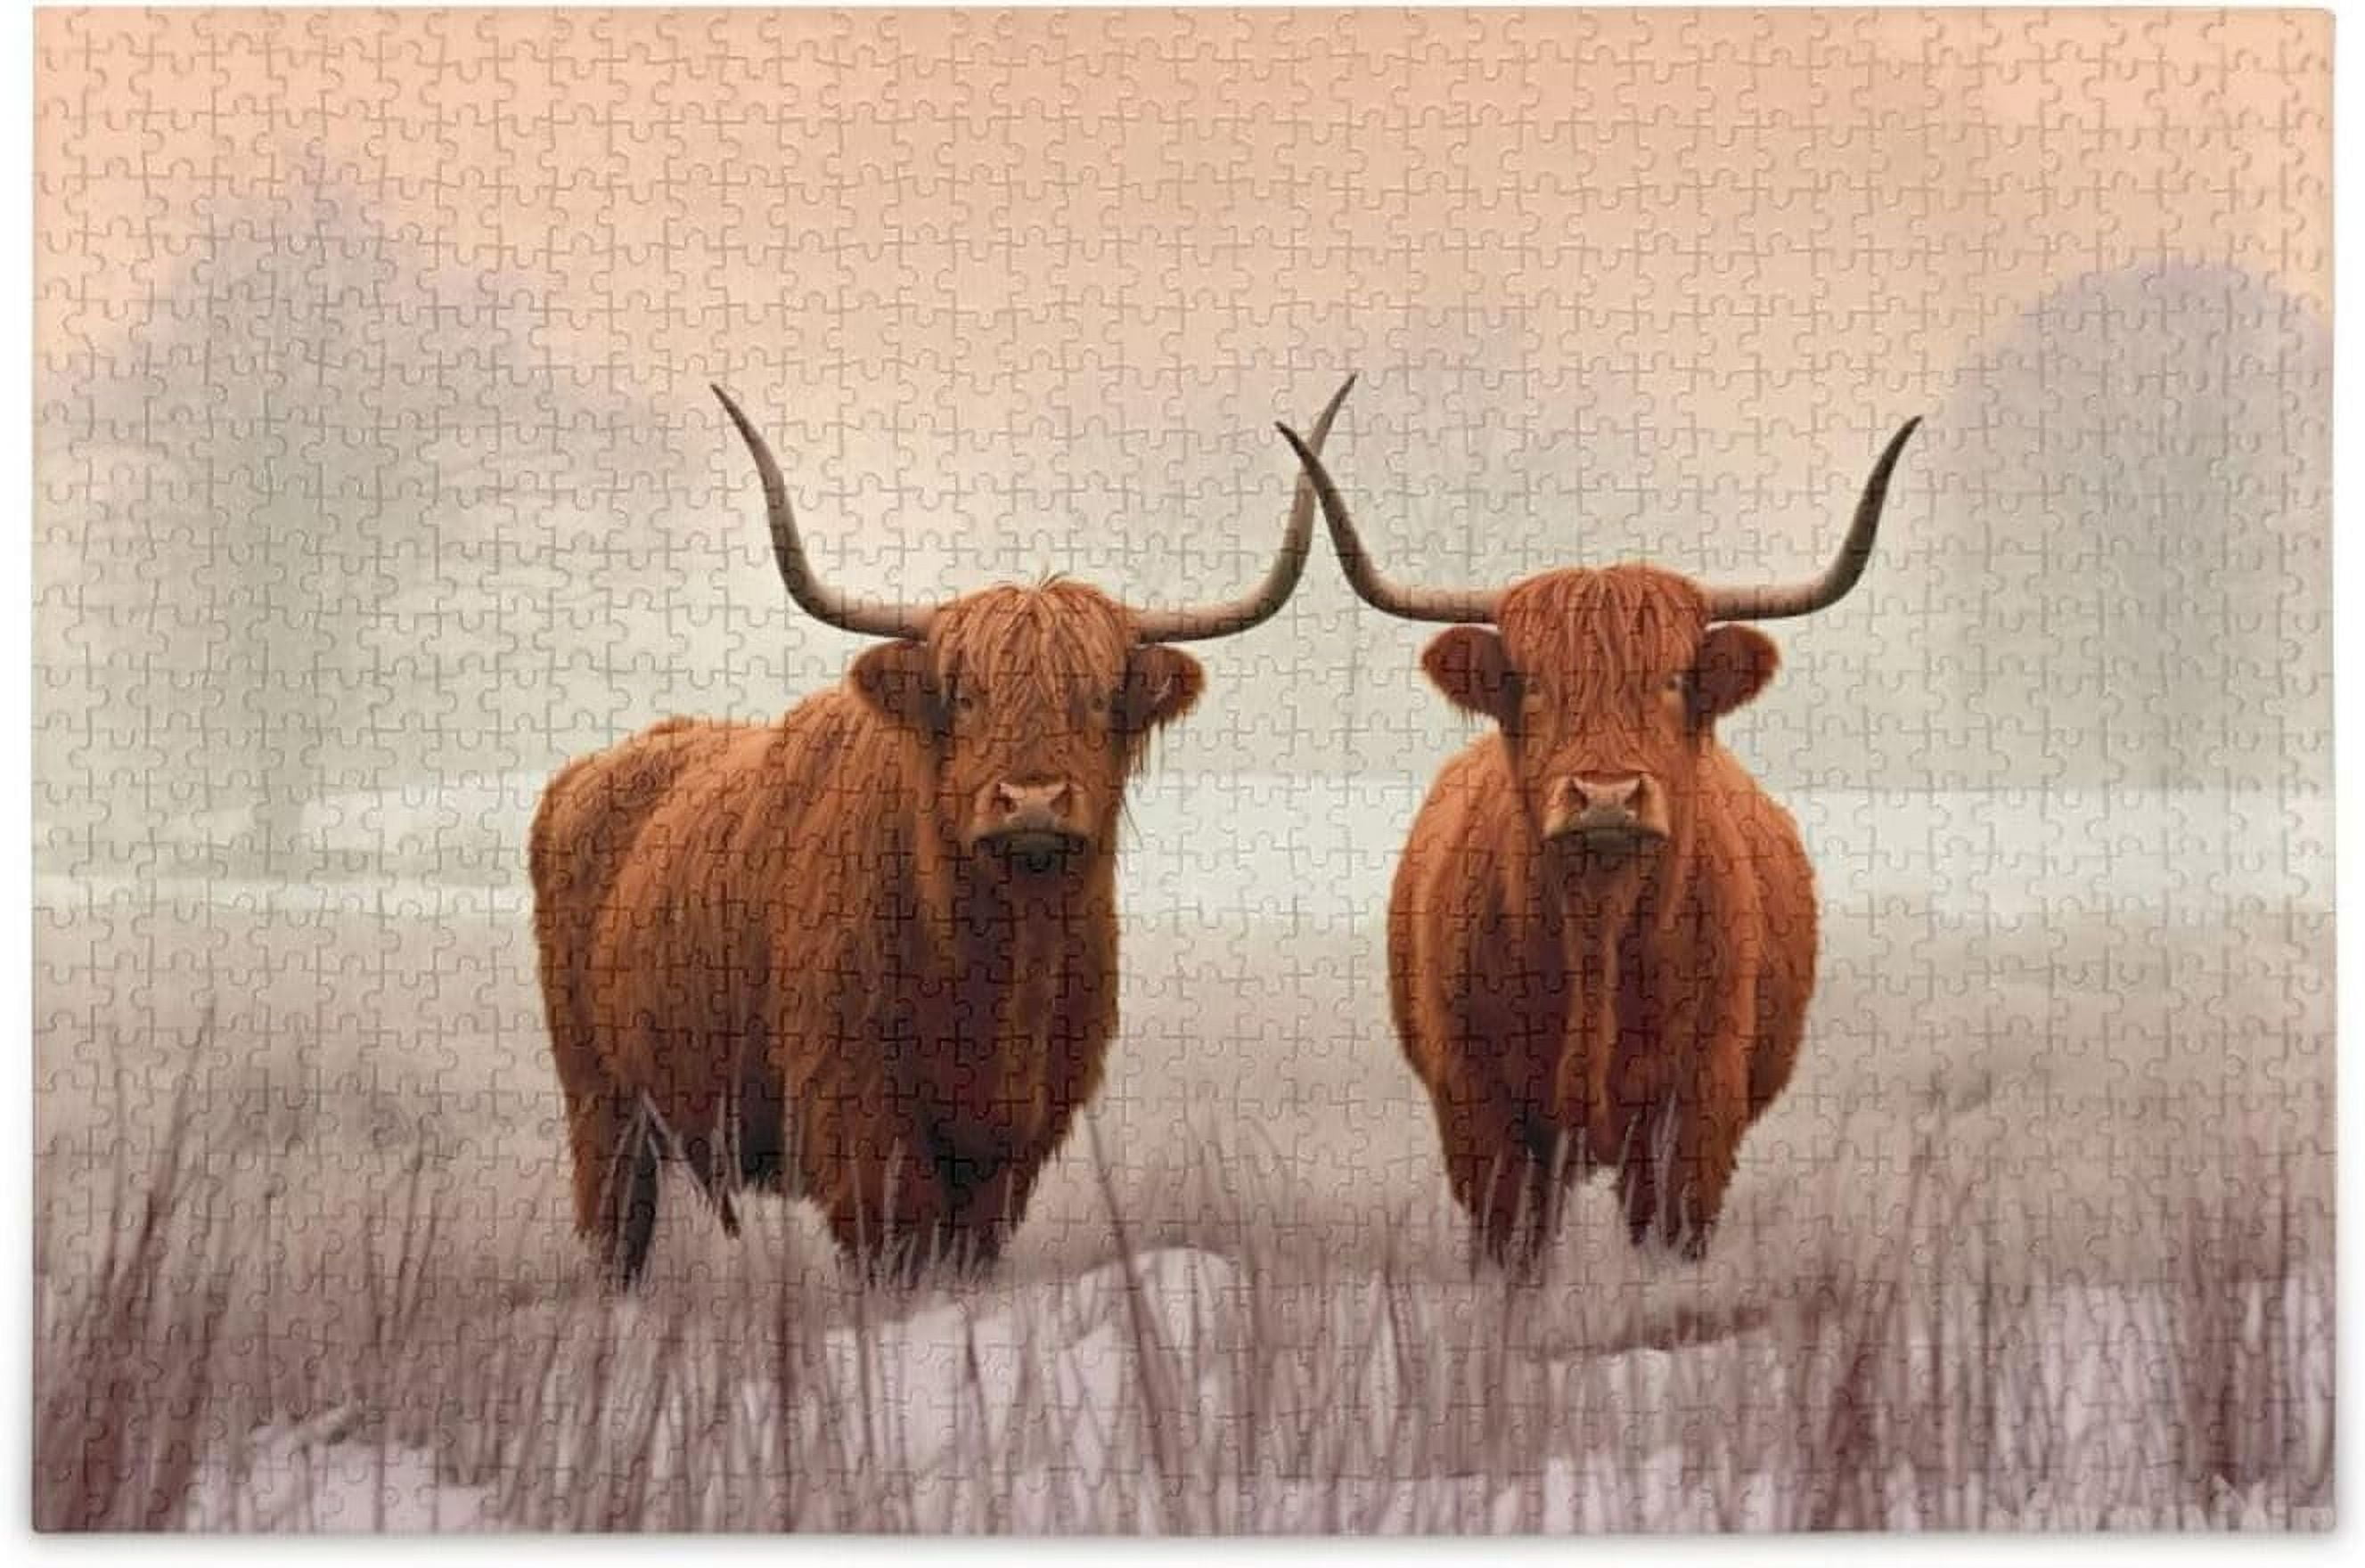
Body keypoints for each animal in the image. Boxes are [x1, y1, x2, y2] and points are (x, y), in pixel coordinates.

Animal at [533, 378, 1354, 1285]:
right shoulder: (859, 1114)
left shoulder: (1022, 1135)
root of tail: (596, 770)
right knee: (618, 1229)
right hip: (603, 1105)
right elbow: (899, 1247)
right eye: (965, 696)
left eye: (1098, 697)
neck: (996, 966)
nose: (1032, 801)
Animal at [1276, 414, 1919, 1268]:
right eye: (1535, 685)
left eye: (1673, 681)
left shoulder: (1697, 1108)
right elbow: (1510, 1248)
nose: (1606, 797)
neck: (1596, 929)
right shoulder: (1481, 1108)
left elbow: (1666, 1234)